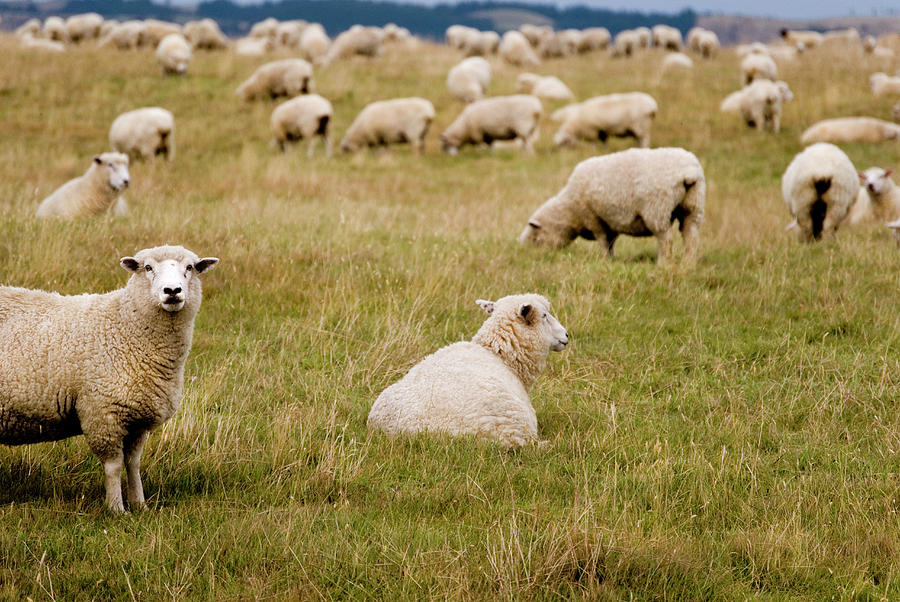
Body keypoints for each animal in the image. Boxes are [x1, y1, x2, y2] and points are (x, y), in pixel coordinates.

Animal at [0, 245, 218, 513]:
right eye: (148, 268)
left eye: (190, 267)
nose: (172, 291)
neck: (124, 326)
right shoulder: (103, 413)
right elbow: (113, 466)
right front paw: (116, 508)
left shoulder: (136, 419)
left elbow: (133, 463)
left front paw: (139, 505)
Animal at [519, 147, 705, 266]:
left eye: (535, 240)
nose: (540, 256)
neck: (570, 210)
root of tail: (688, 173)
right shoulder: (610, 221)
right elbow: (611, 242)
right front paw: (612, 258)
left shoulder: (593, 217)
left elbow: (602, 240)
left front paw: (604, 259)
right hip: (693, 207)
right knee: (691, 236)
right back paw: (688, 264)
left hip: (657, 209)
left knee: (665, 239)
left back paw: (663, 264)